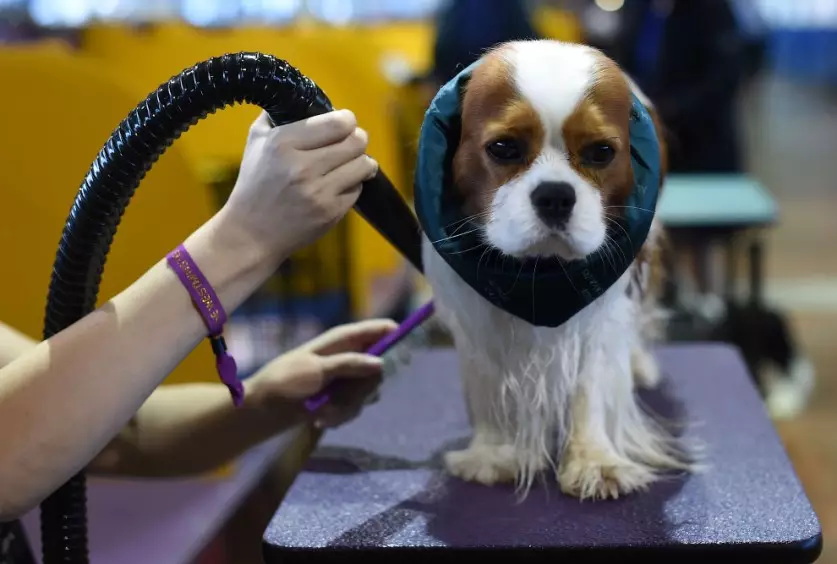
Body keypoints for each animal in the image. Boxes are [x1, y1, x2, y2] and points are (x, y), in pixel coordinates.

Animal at [422, 39, 688, 500]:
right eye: (504, 148)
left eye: (601, 152)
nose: (555, 196)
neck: (539, 280)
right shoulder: (478, 313)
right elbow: (488, 378)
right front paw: (495, 453)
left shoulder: (602, 307)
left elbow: (591, 383)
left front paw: (596, 461)